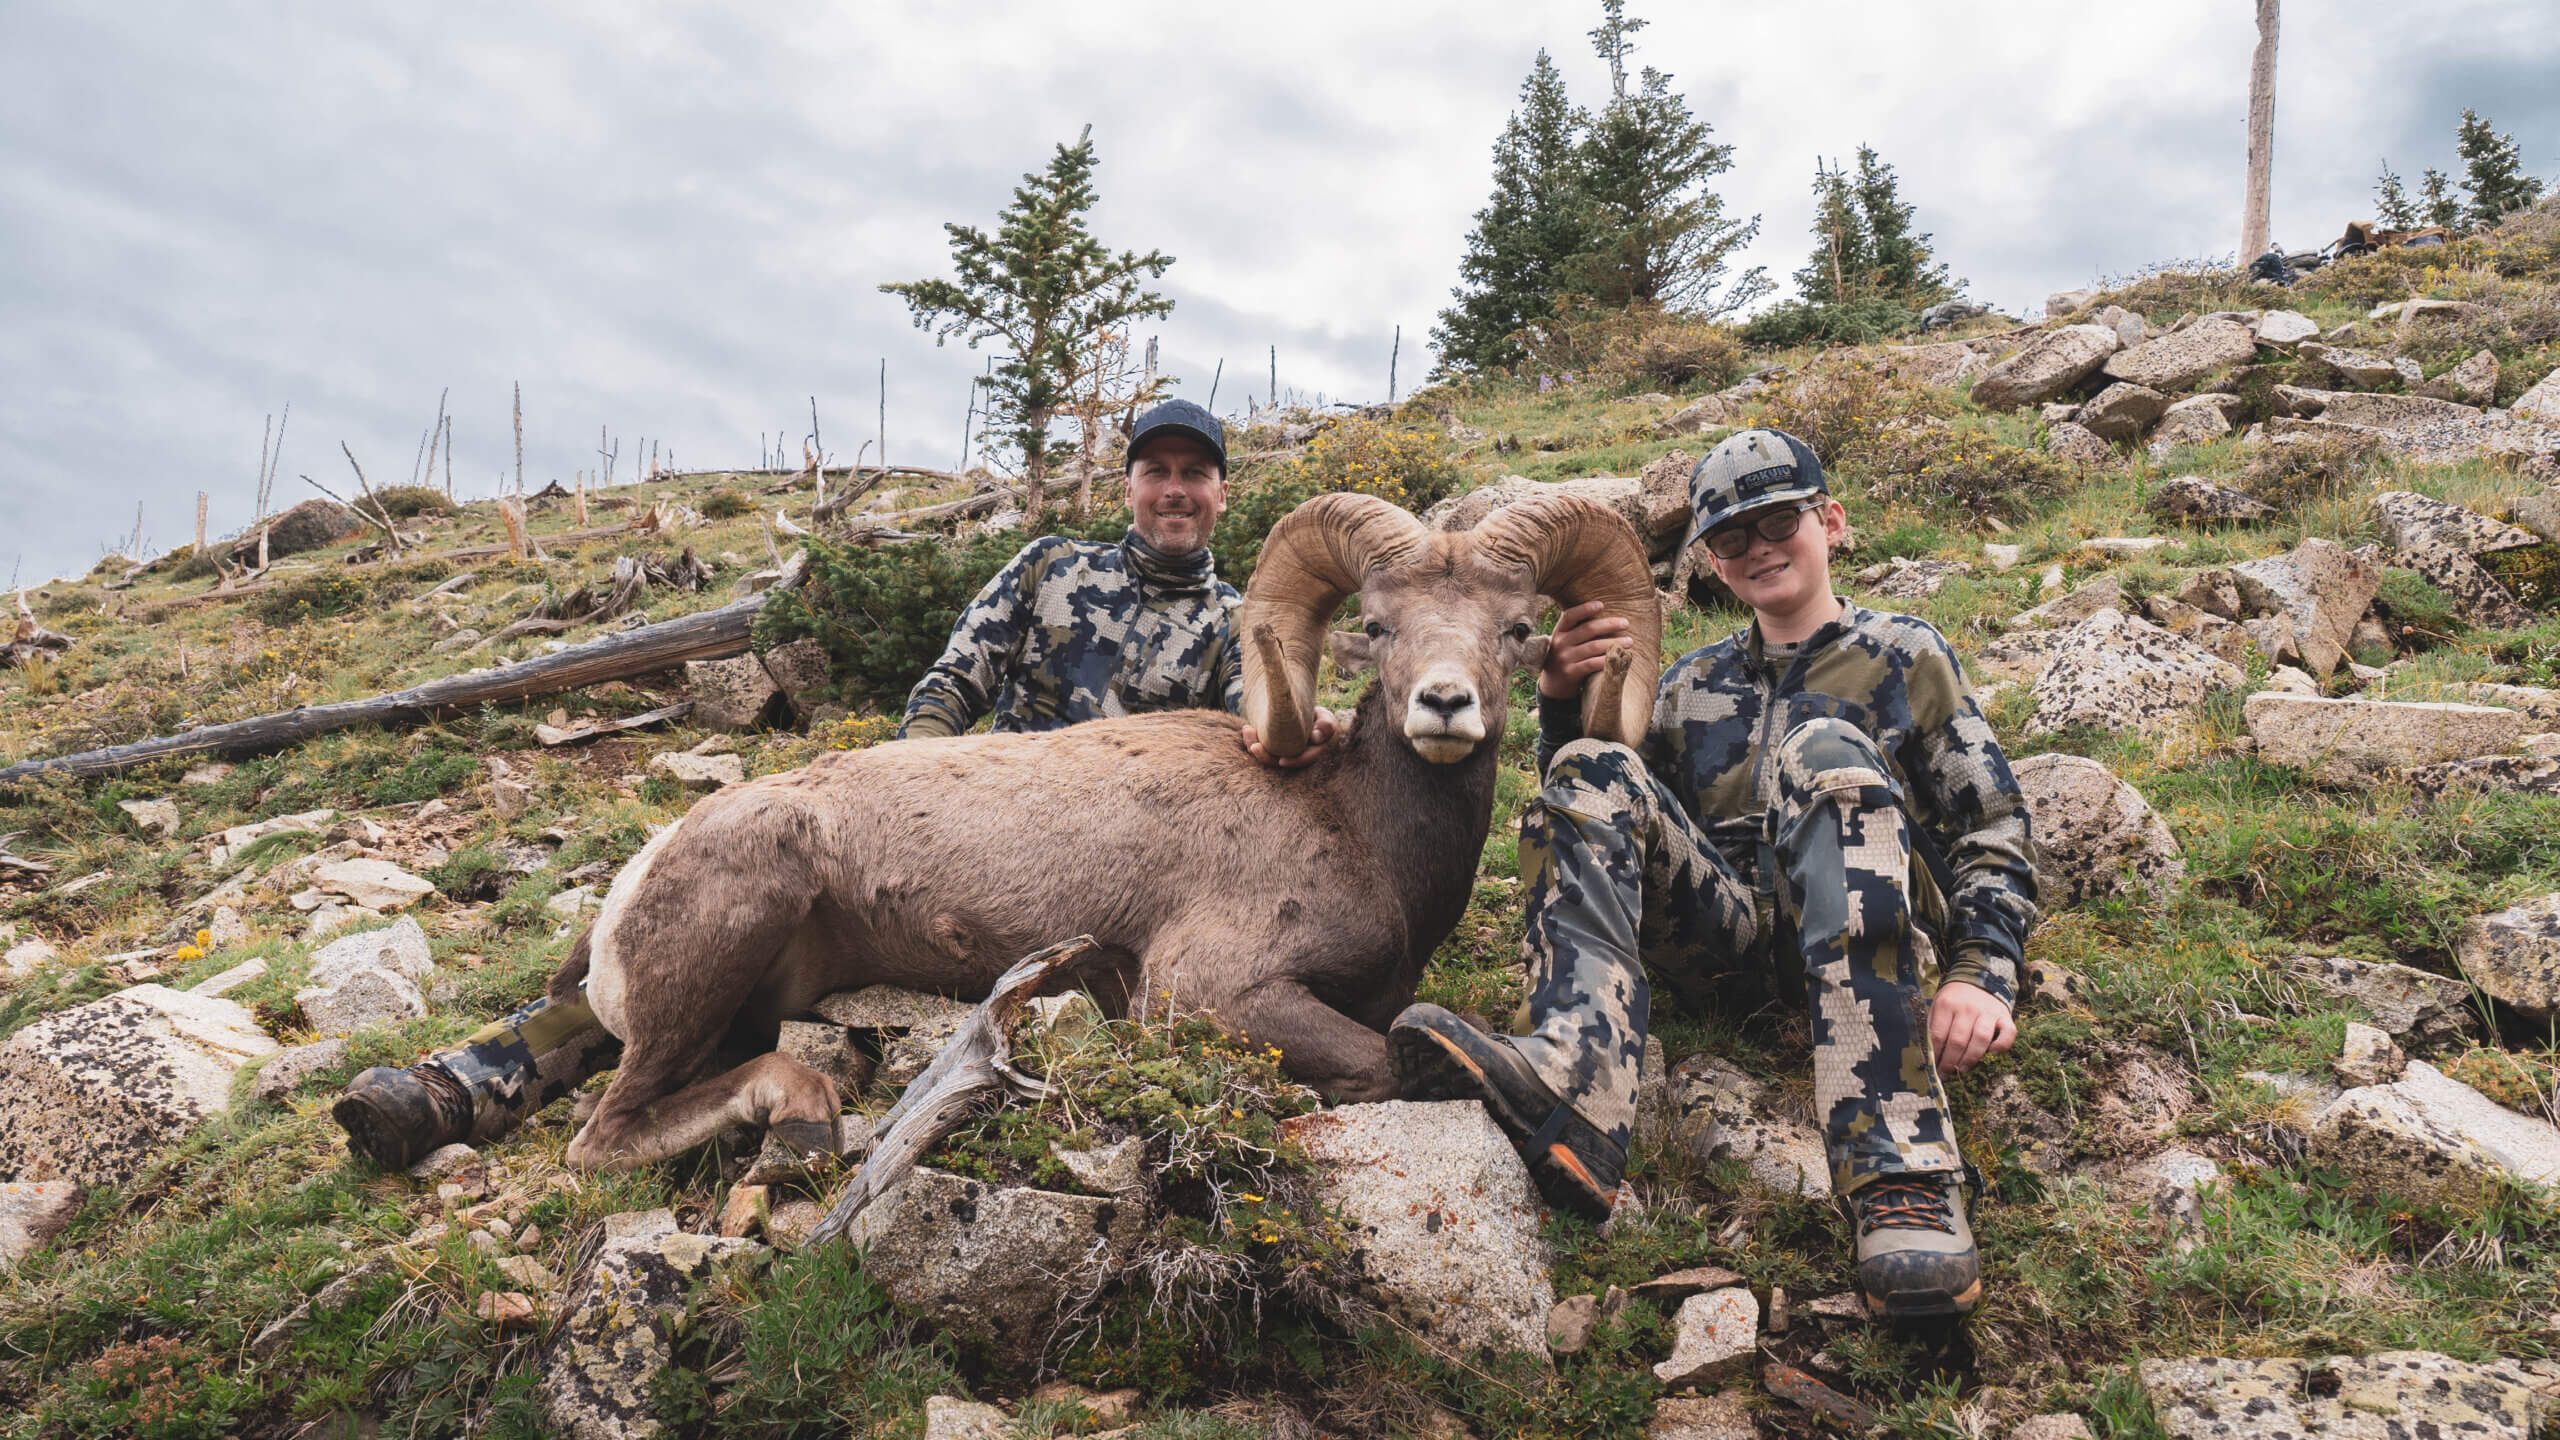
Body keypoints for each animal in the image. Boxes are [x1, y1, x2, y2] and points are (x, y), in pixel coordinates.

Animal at [555, 491, 1662, 1169]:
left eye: (1516, 631)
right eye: (1379, 627)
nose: (1443, 705)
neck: (1356, 829)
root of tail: (619, 911)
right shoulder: (1206, 989)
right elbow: (1384, 1061)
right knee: (604, 1134)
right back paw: (800, 1115)